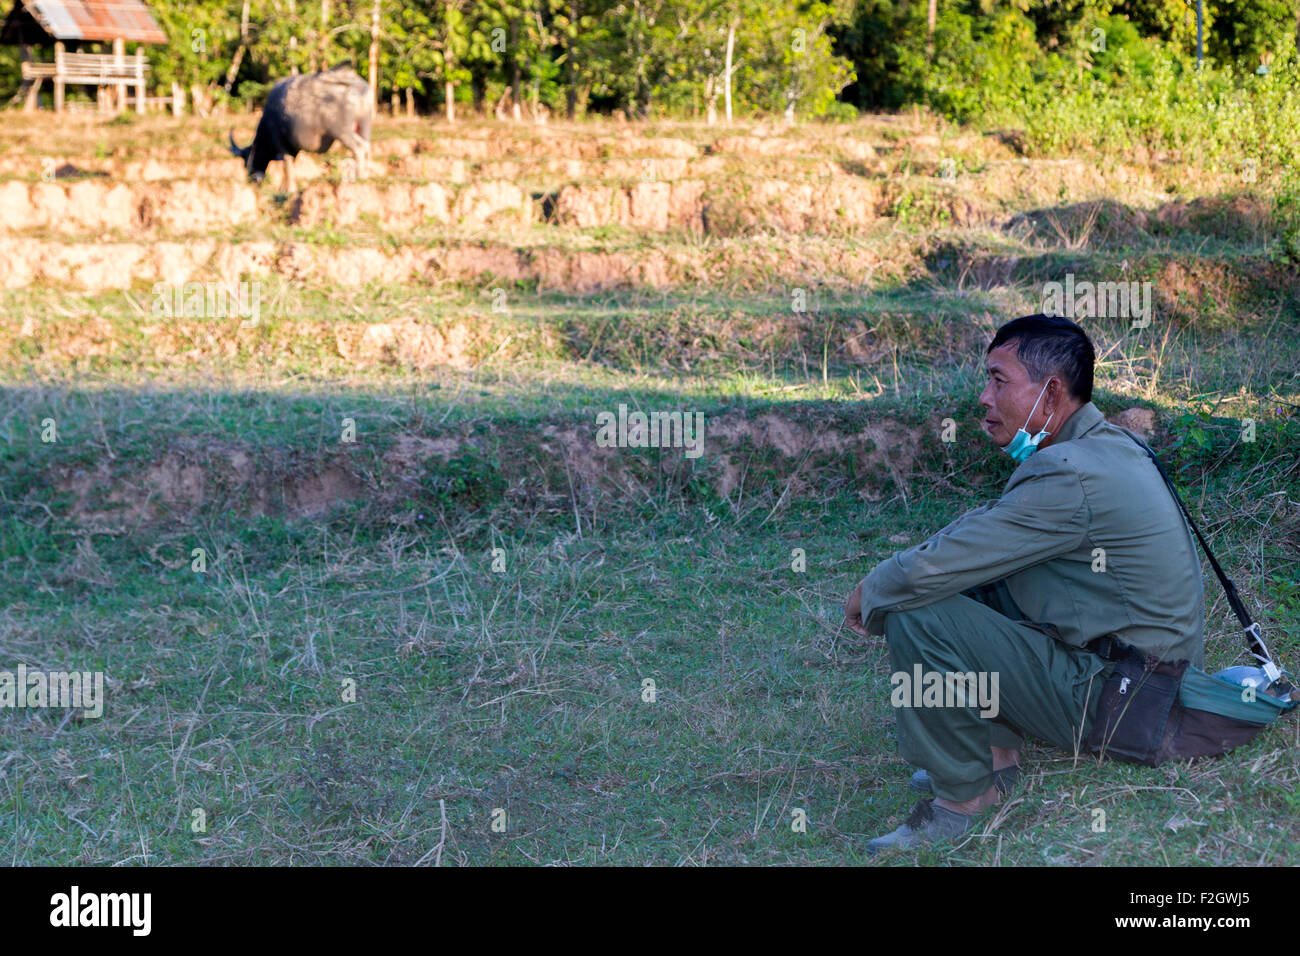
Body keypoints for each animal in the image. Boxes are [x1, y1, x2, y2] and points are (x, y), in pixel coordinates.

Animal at [228, 65, 373, 192]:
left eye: (245, 161)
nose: (251, 180)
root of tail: (356, 84)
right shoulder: (294, 149)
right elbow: (291, 167)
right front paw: (284, 188)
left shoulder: (282, 145)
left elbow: (287, 167)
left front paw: (289, 190)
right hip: (363, 126)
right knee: (366, 146)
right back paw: (365, 175)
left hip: (342, 132)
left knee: (359, 148)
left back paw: (360, 176)